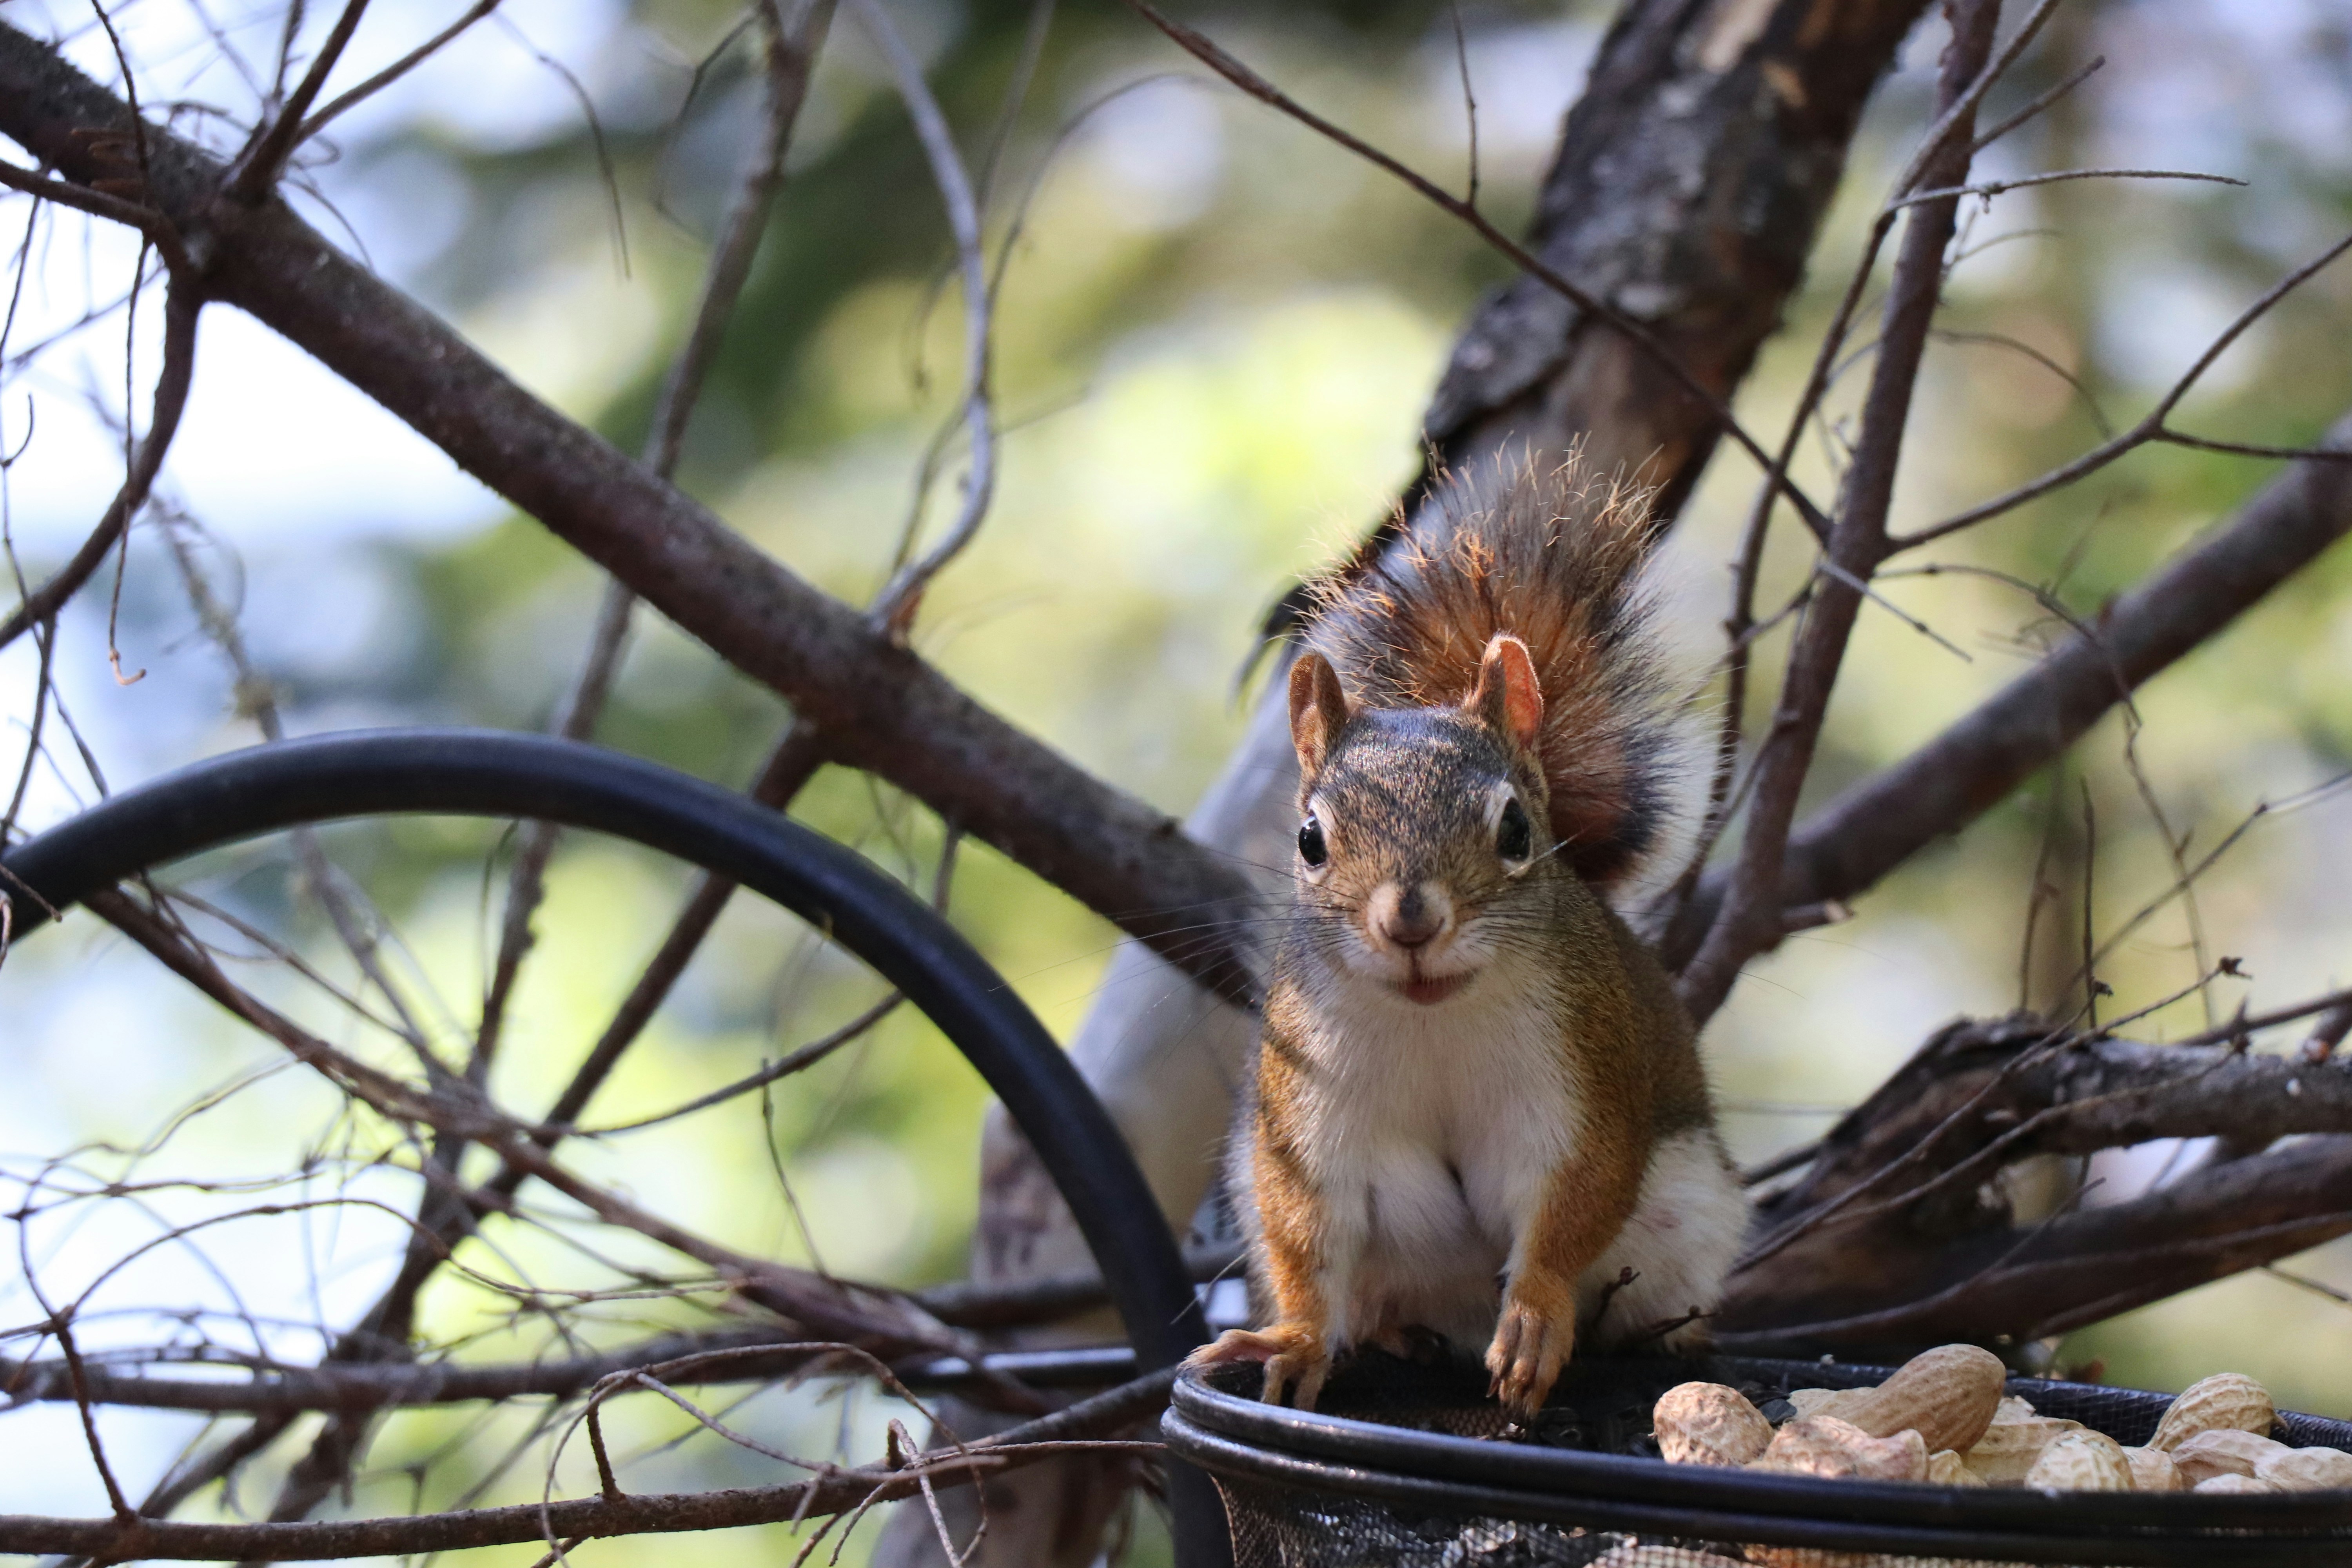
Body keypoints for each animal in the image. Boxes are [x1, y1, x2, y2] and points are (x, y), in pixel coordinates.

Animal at [1190, 453, 1748, 1419]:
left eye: (1517, 830)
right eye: (1309, 839)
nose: (1411, 919)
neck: (1433, 1019)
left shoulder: (1580, 1080)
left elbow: (1576, 1198)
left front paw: (1532, 1321)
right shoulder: (1309, 1114)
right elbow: (1308, 1229)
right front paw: (1296, 1338)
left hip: (1687, 1219)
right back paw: (1394, 1333)